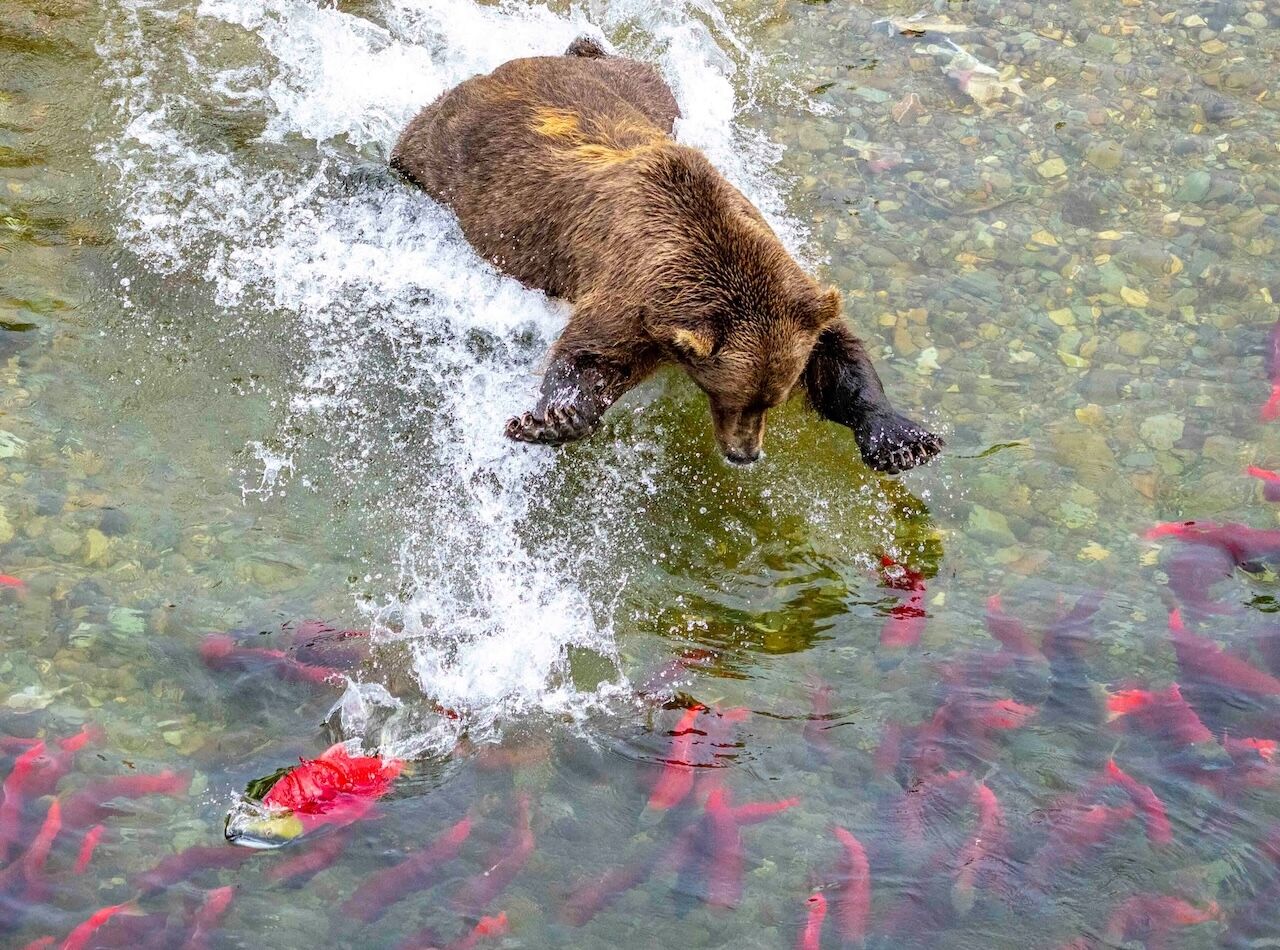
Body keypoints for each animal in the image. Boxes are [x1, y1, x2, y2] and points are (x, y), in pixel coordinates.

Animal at [391, 36, 942, 473]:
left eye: (773, 397)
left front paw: (904, 442)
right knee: (414, 145)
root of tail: (502, 69)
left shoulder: (786, 293)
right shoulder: (633, 295)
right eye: (727, 395)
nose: (744, 453)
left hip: (641, 89)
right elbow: (591, 354)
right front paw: (555, 417)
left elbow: (837, 356)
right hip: (449, 147)